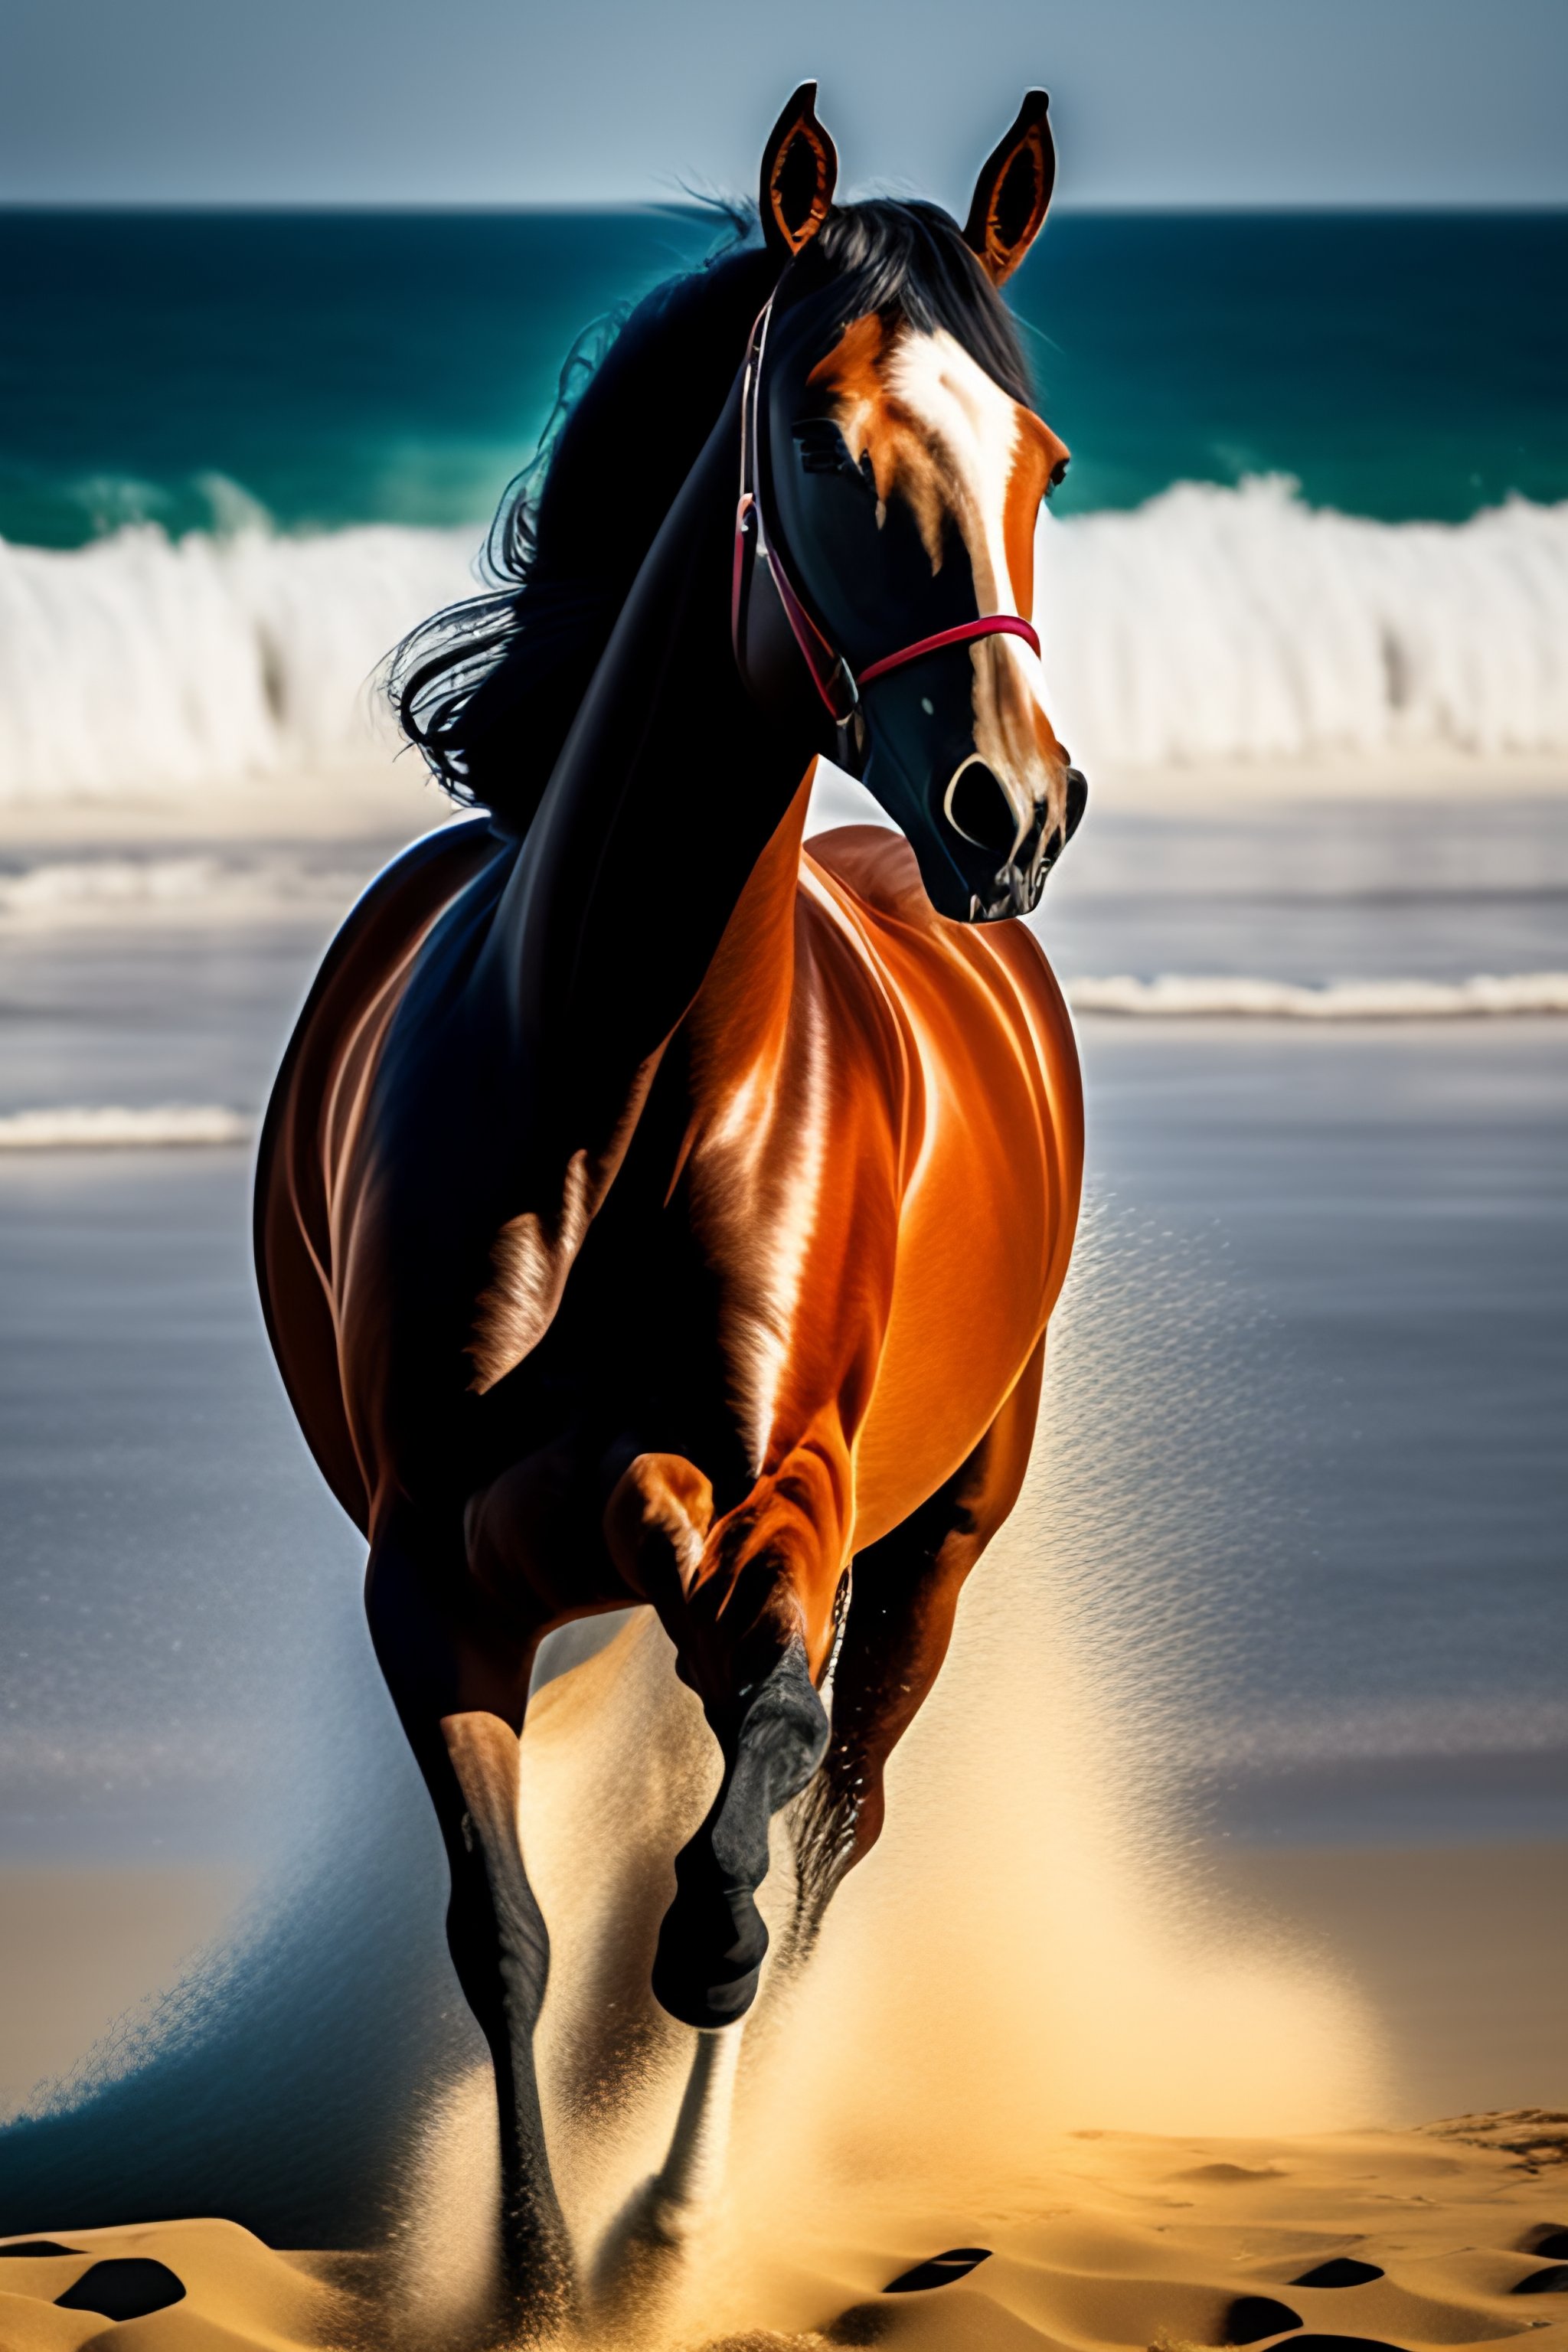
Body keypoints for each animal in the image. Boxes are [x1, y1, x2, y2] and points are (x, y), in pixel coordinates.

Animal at [255, 83, 1086, 2325]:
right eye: (817, 428)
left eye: (1041, 456)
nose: (1010, 807)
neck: (618, 1092)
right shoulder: (429, 1577)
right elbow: (508, 1933)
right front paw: (532, 2284)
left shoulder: (783, 1515)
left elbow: (746, 1848)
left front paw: (645, 2189)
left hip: (944, 1539)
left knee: (827, 1828)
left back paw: (691, 2207)